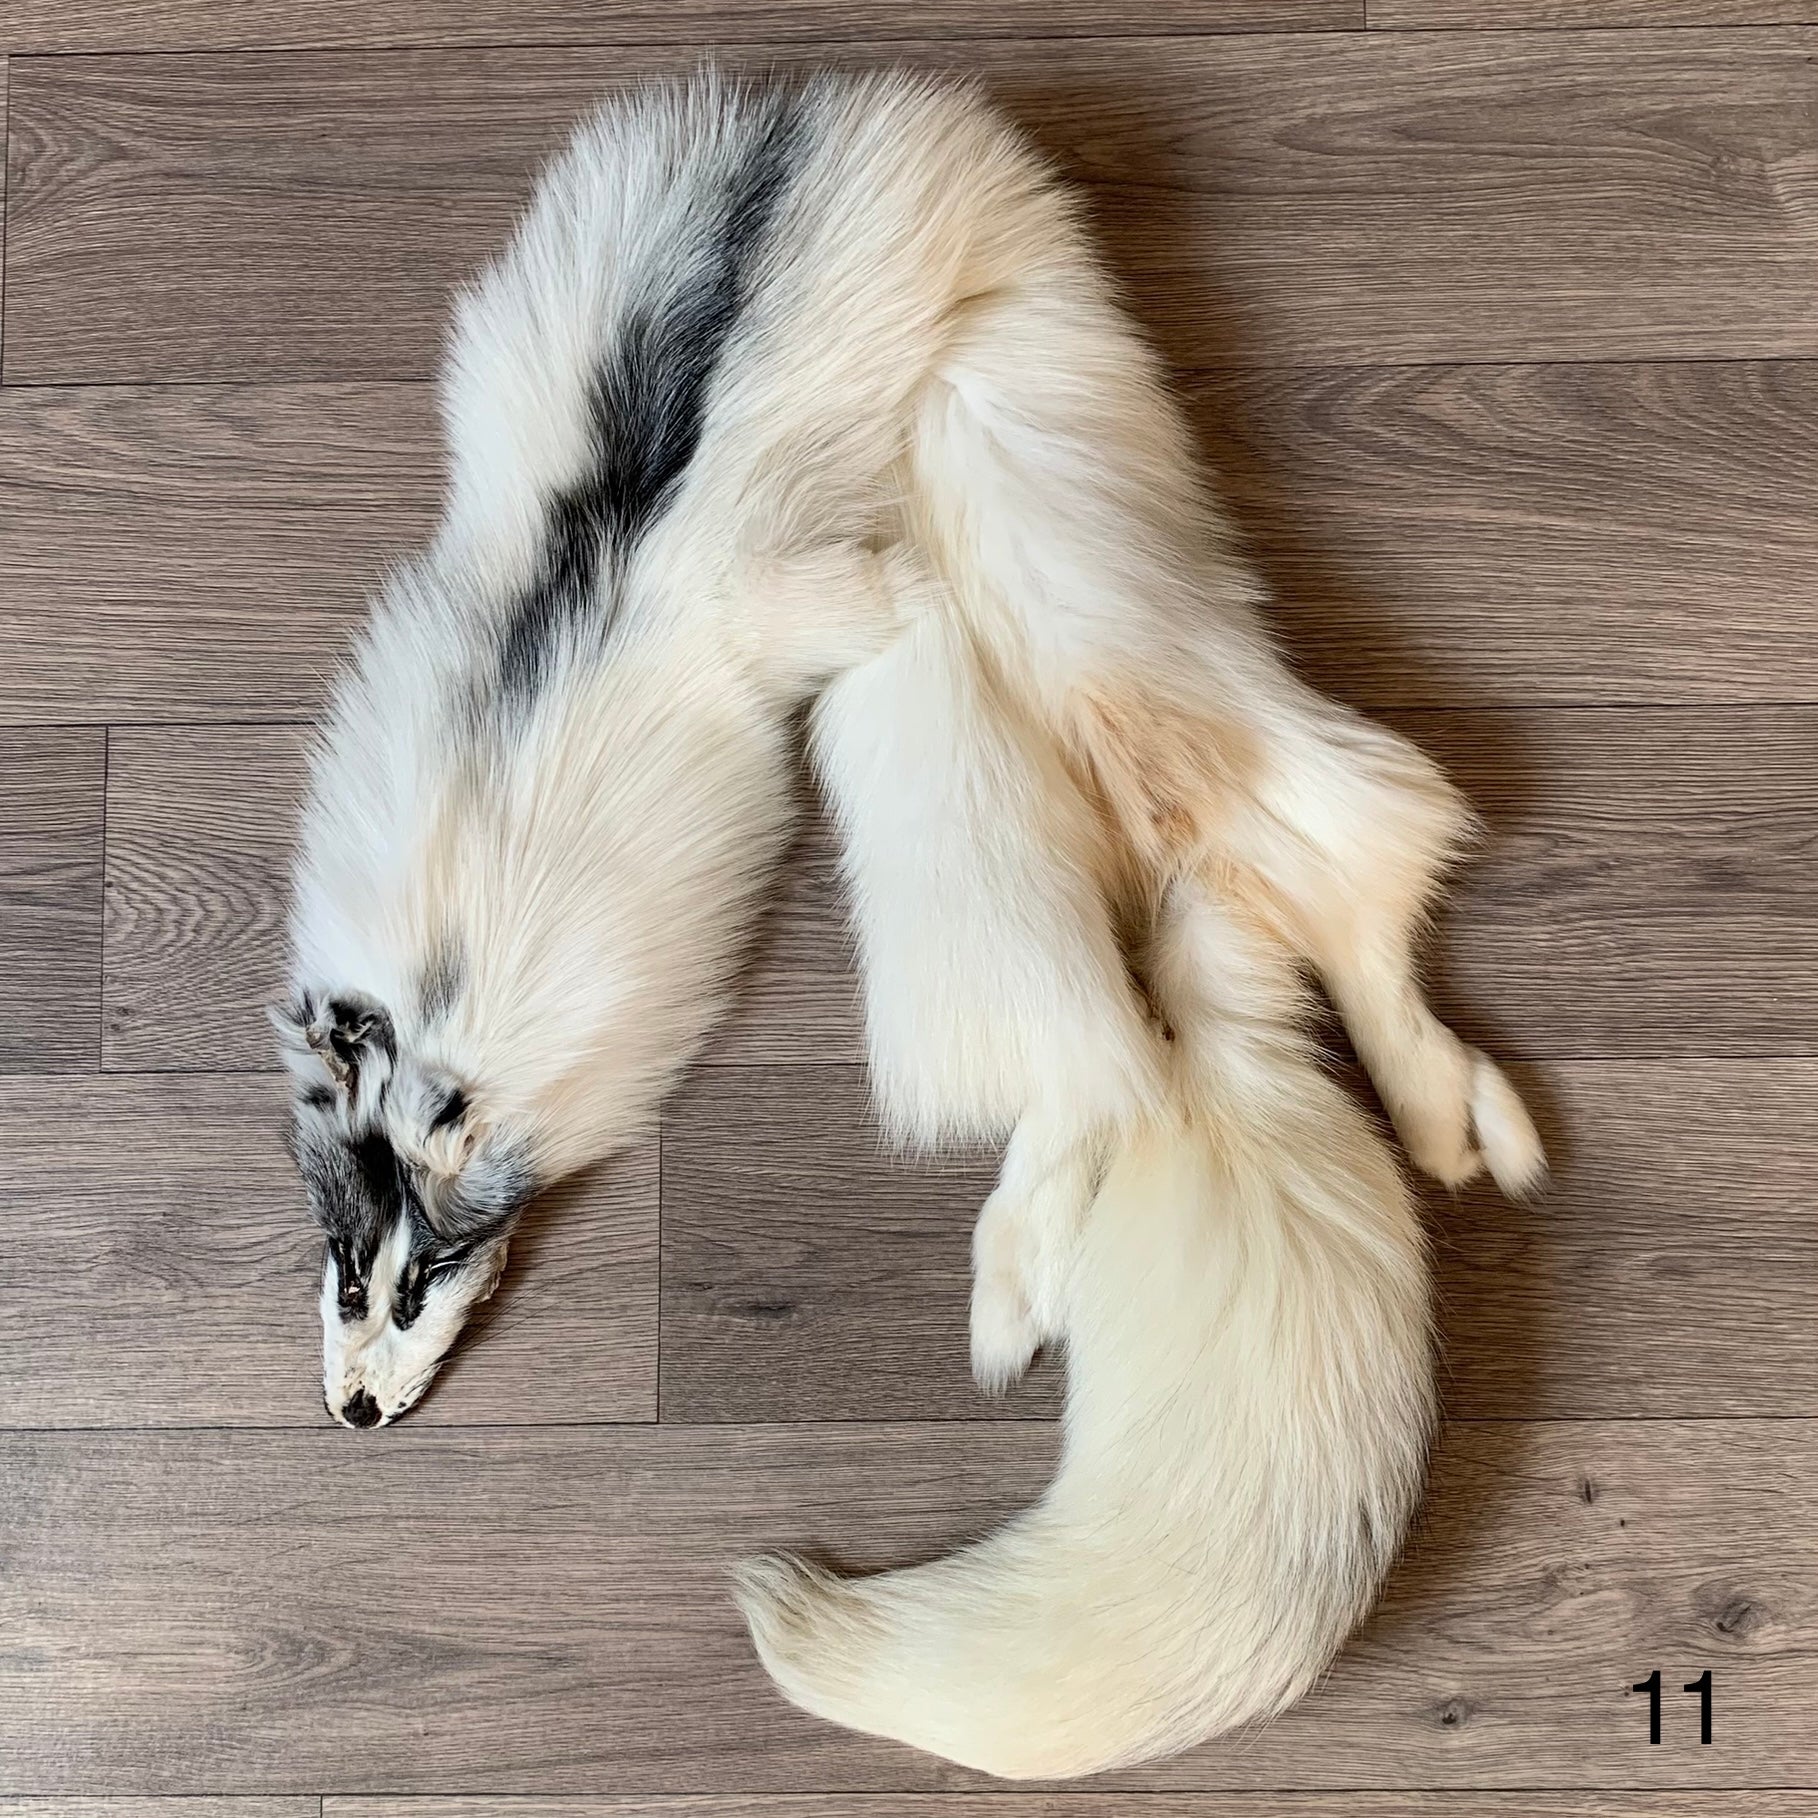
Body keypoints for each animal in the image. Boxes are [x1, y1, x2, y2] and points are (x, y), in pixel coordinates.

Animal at [280, 66, 1542, 1773]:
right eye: (351, 1280)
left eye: (420, 1284)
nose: (350, 1413)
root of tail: (825, 100)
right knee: (1221, 930)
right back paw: (1421, 1125)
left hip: (1031, 551)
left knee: (1326, 850)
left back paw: (1383, 1138)